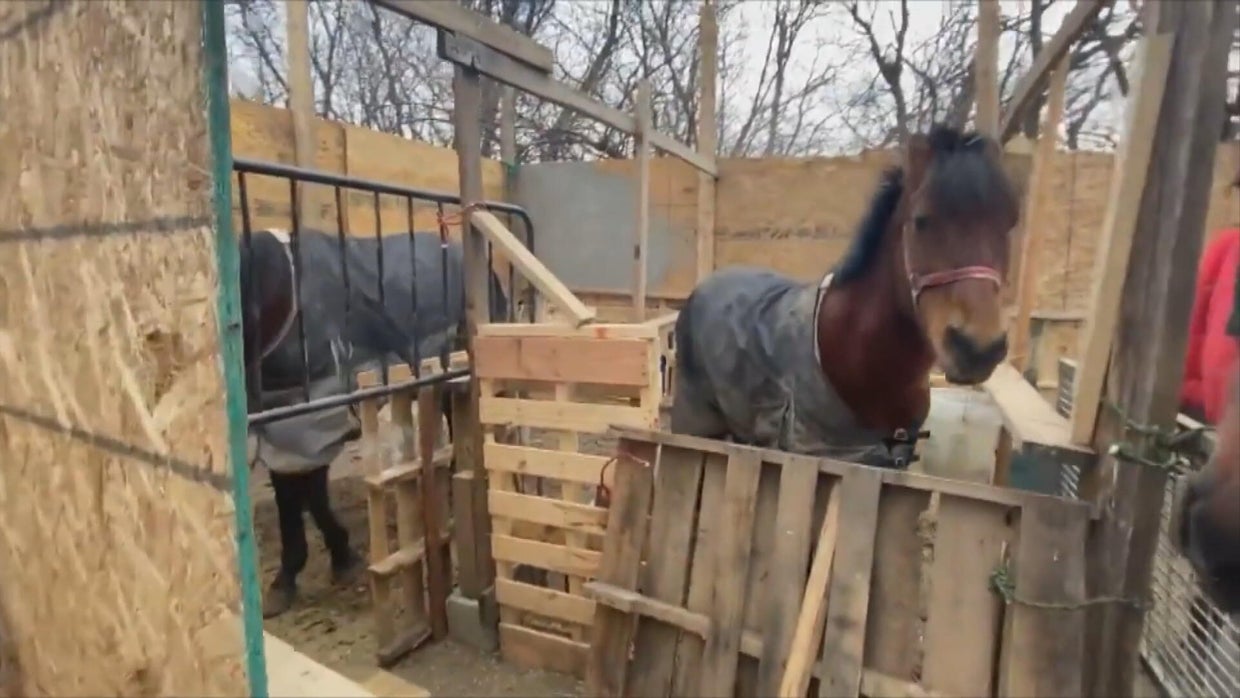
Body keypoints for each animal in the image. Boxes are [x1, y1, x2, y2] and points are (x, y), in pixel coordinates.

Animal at [238, 227, 508, 617]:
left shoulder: (314, 415)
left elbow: (307, 495)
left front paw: (336, 559)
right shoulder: (281, 422)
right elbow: (291, 497)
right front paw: (289, 579)